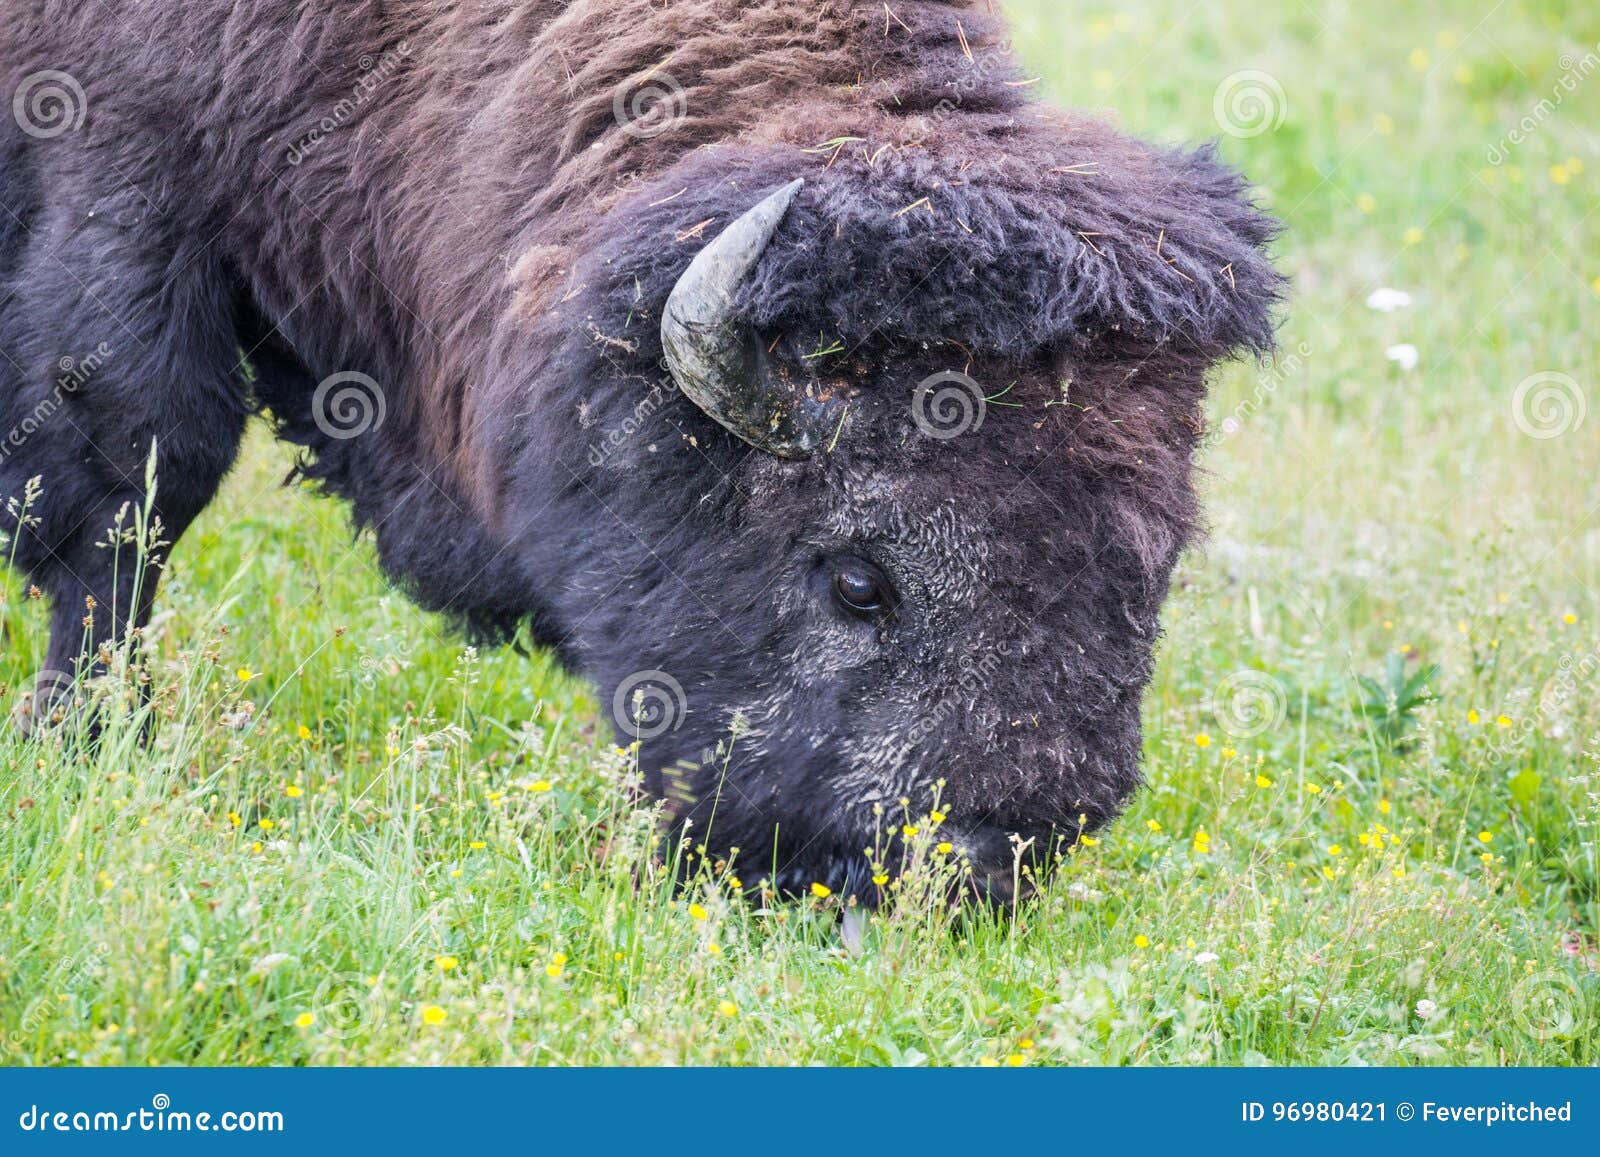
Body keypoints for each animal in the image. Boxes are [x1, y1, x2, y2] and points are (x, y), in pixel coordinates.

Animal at [1, 0, 1280, 902]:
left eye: (1152, 571)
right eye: (857, 579)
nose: (981, 861)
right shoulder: (131, 199)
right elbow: (134, 493)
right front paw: (88, 743)